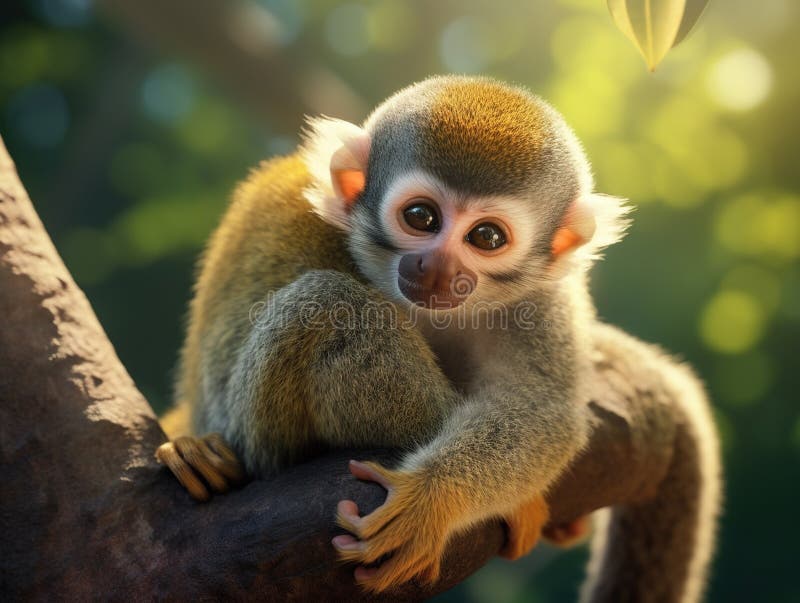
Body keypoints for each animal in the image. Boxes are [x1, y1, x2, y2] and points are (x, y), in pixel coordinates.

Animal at [156, 75, 721, 600]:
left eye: (486, 237)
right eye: (420, 217)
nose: (437, 267)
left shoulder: (544, 297)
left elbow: (542, 409)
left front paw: (435, 499)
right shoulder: (296, 229)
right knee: (324, 305)